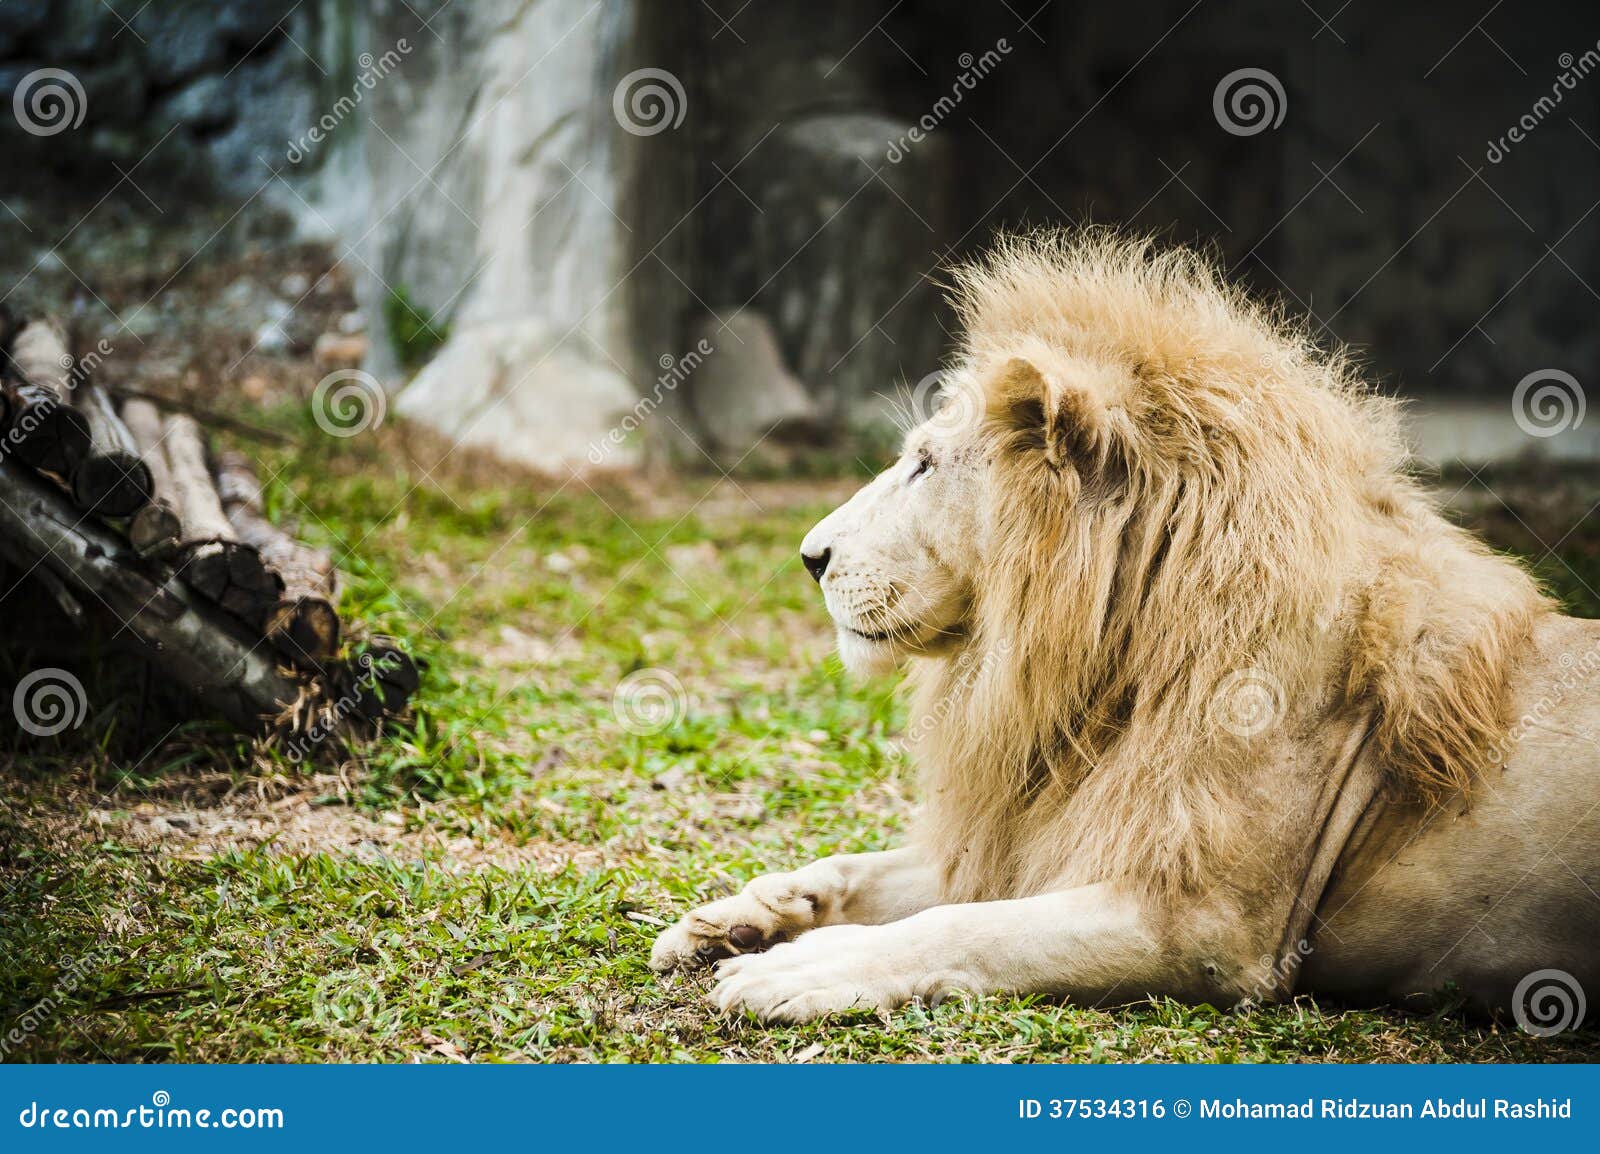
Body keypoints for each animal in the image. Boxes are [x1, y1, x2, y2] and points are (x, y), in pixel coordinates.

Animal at [651, 231, 1600, 1027]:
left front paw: (798, 967)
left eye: (924, 464)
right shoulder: (1036, 836)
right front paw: (735, 917)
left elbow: (962, 927)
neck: (1107, 669)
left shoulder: (1205, 925)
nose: (809, 556)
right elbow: (860, 868)